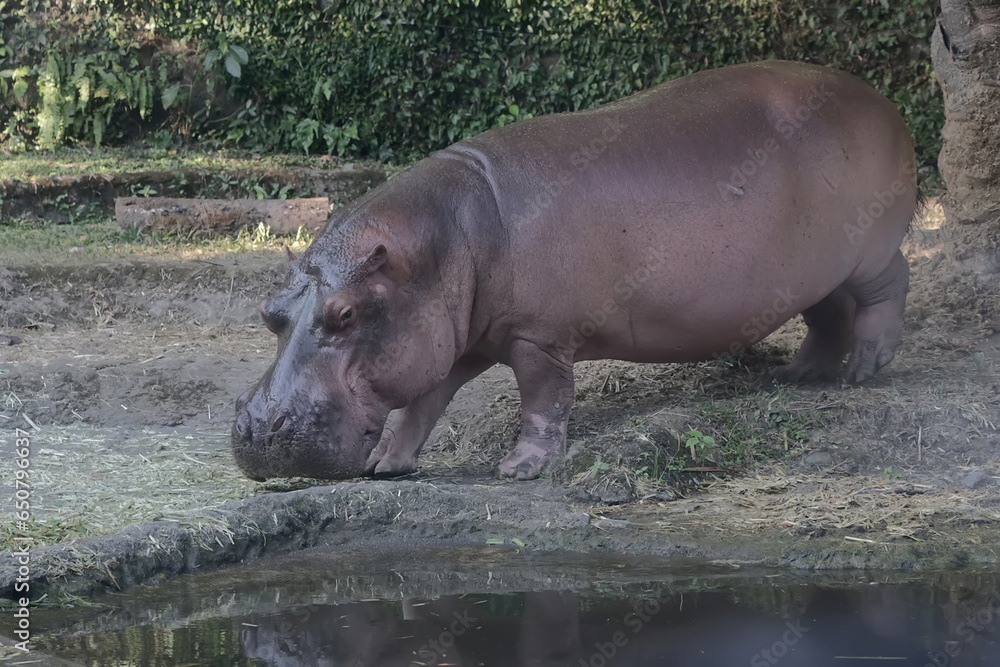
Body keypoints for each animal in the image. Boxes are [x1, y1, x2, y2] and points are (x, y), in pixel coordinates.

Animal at [233, 60, 917, 482]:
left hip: (868, 252)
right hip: (814, 270)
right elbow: (420, 406)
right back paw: (802, 375)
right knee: (829, 314)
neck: (445, 240)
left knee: (890, 287)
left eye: (345, 313)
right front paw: (387, 465)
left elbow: (543, 400)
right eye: (269, 312)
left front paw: (519, 470)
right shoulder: (446, 338)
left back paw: (864, 370)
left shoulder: (538, 338)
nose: (258, 432)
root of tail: (881, 99)